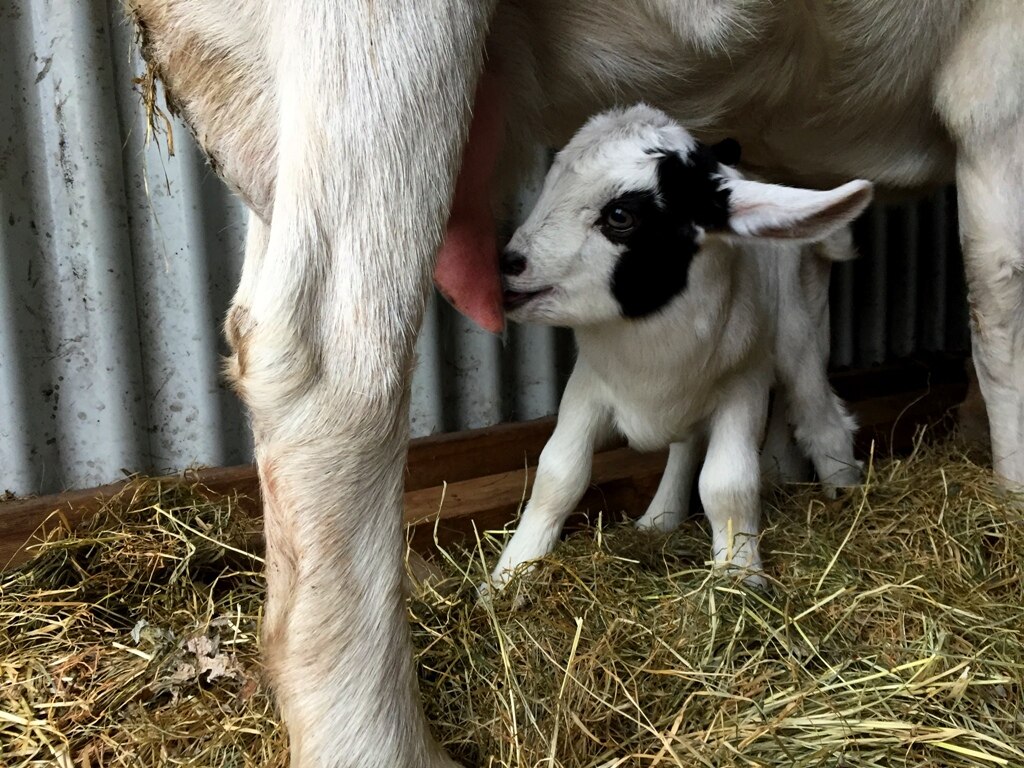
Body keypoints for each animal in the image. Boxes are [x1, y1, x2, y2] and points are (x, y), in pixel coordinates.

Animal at [488, 105, 869, 588]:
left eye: (620, 216)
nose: (508, 264)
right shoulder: (588, 384)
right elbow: (559, 473)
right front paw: (508, 576)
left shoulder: (743, 383)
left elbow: (727, 482)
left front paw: (739, 576)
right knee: (688, 445)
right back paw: (662, 518)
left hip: (800, 332)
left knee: (818, 414)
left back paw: (843, 492)